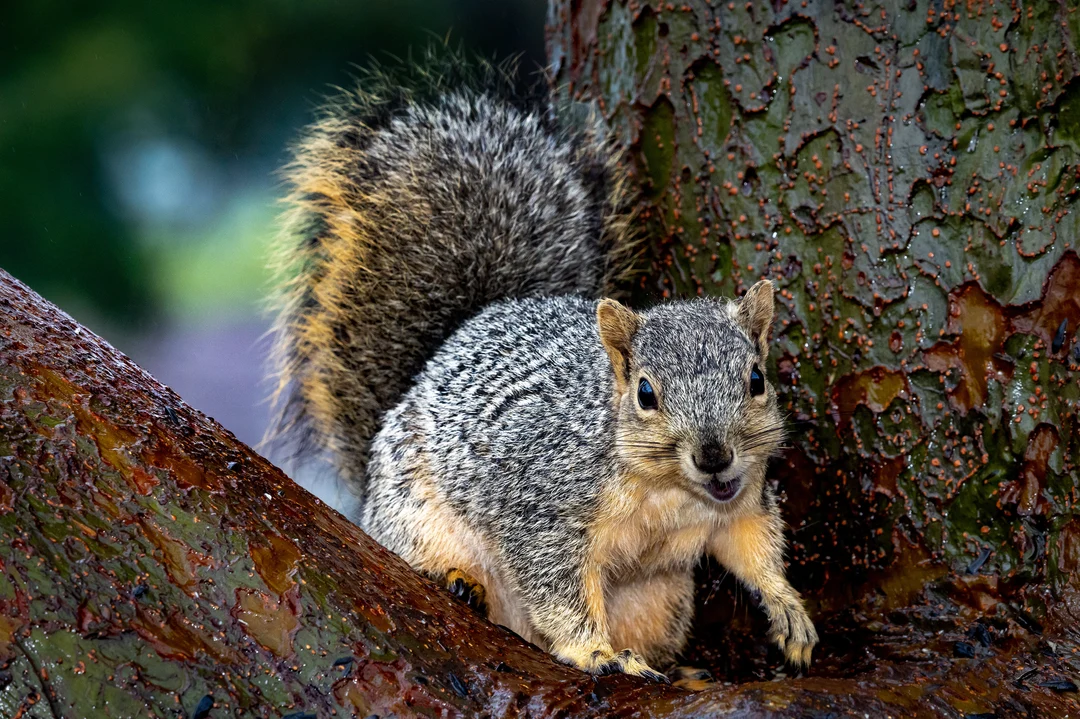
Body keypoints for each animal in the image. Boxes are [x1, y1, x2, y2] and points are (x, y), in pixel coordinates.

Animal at [266, 49, 817, 683]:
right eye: (646, 393)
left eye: (756, 379)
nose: (714, 456)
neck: (667, 491)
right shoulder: (543, 510)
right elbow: (557, 588)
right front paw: (596, 652)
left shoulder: (742, 499)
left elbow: (753, 546)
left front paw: (788, 608)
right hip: (413, 515)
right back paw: (458, 582)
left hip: (660, 600)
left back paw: (676, 670)